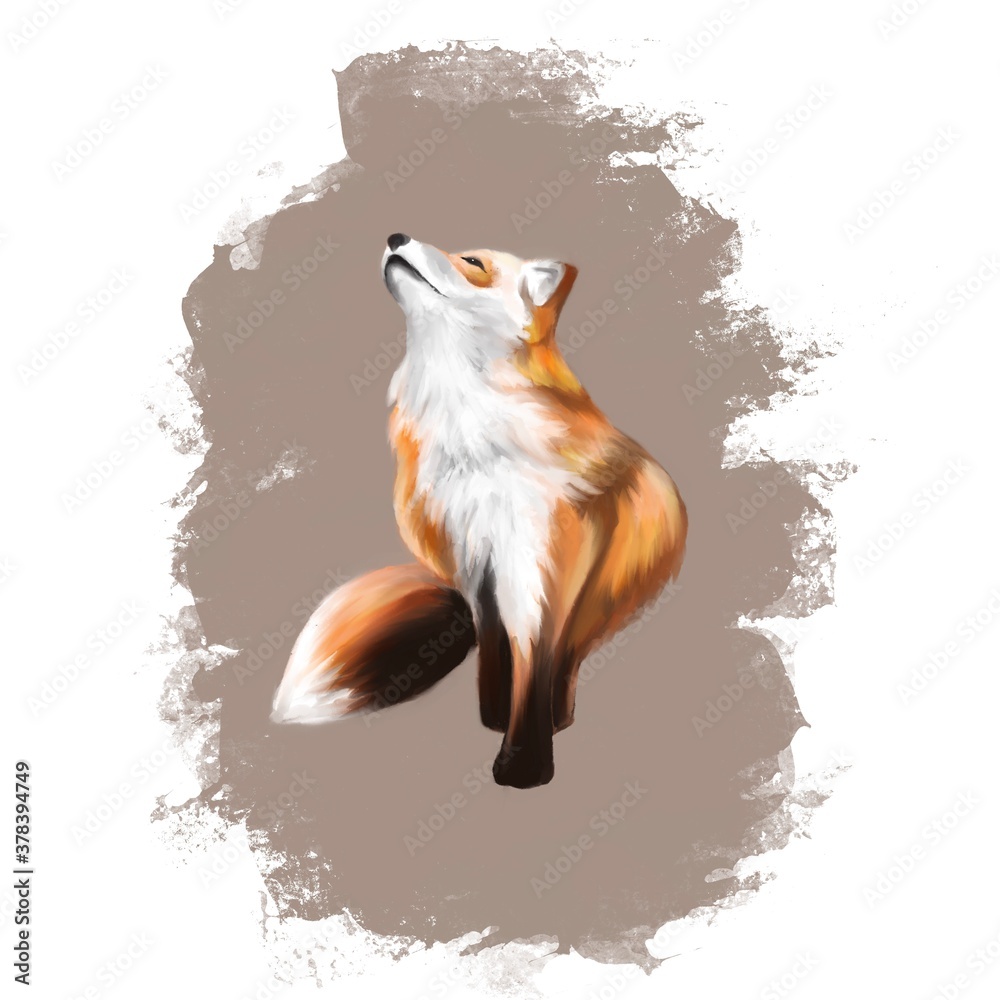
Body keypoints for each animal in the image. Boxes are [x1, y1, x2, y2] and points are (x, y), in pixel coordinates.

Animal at [270, 233, 687, 789]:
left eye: (472, 263)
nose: (395, 237)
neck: (472, 444)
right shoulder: (473, 555)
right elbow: (495, 652)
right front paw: (493, 715)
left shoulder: (537, 565)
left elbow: (532, 665)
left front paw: (523, 766)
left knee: (564, 665)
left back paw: (559, 717)